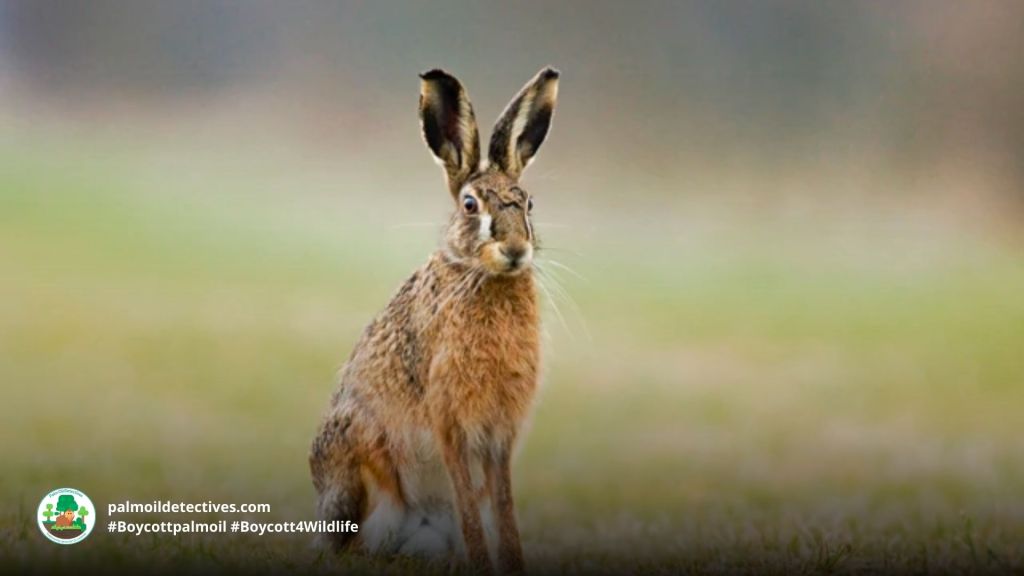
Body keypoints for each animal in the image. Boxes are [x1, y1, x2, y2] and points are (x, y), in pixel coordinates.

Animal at [309, 67, 560, 574]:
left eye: (528, 204)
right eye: (470, 206)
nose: (515, 250)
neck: (483, 277)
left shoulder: (500, 433)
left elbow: (503, 503)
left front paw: (511, 563)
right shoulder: (450, 422)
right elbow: (467, 500)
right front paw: (482, 563)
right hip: (358, 460)